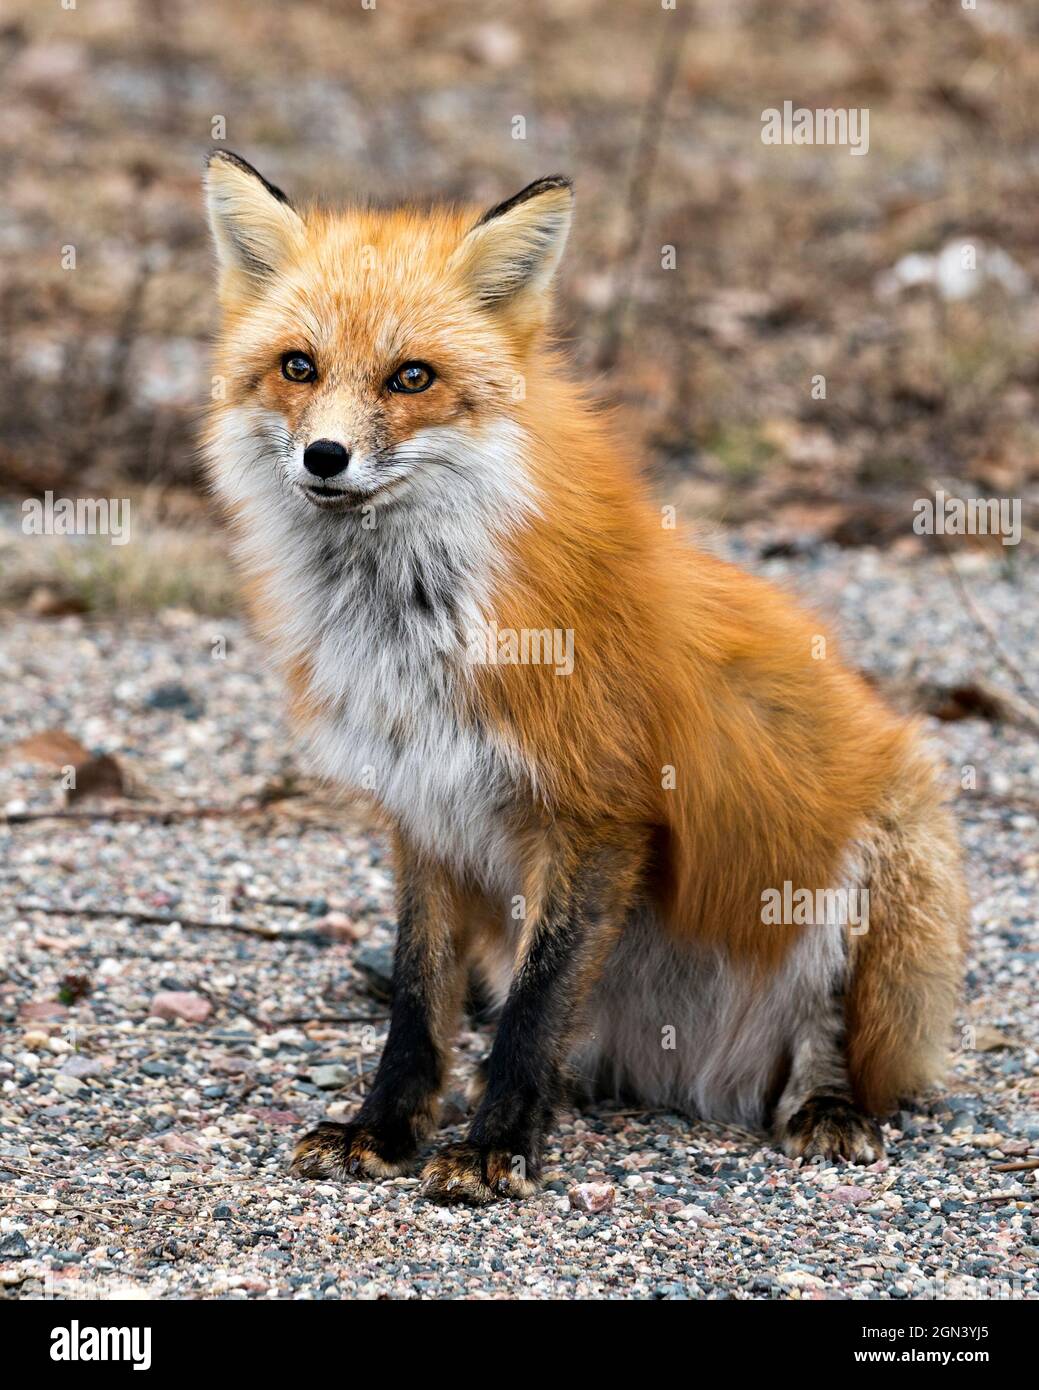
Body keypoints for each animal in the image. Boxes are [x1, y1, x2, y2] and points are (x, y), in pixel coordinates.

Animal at [202, 150, 969, 1205]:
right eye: (297, 367)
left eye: (411, 377)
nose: (325, 456)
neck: (415, 623)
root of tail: (688, 1078)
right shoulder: (421, 807)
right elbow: (419, 1003)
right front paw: (387, 1129)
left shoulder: (598, 810)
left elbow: (534, 1007)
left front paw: (493, 1144)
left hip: (886, 872)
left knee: (830, 1037)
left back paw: (825, 1106)